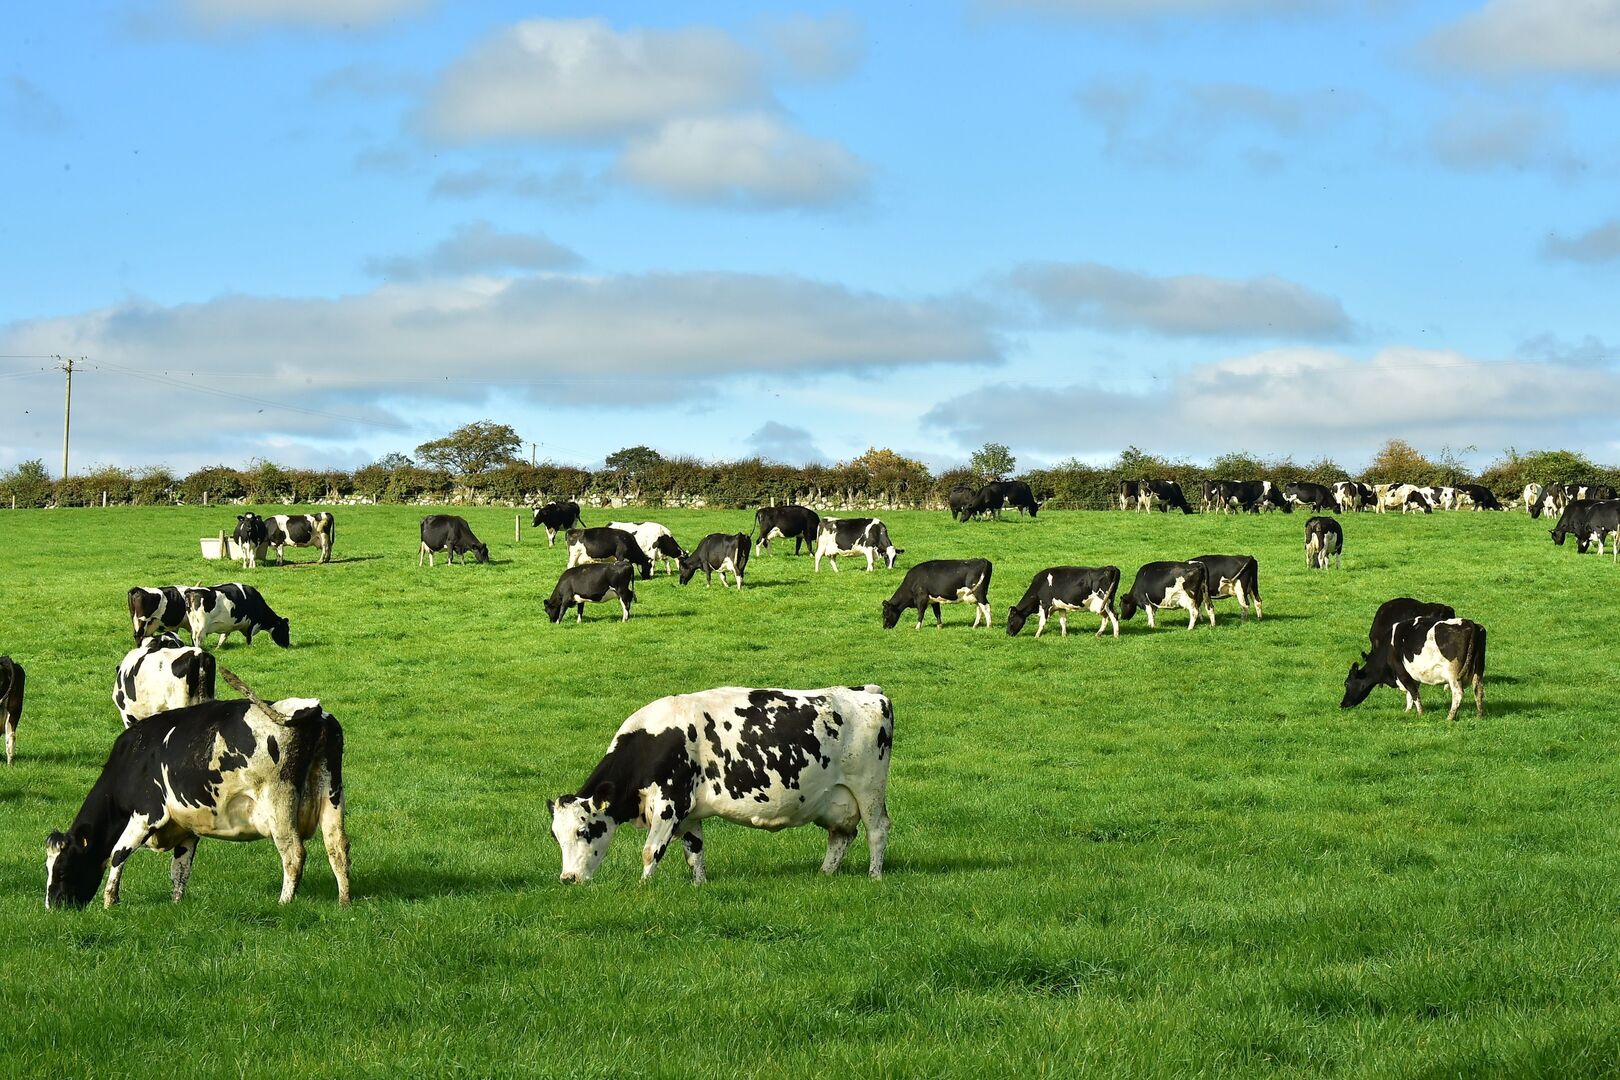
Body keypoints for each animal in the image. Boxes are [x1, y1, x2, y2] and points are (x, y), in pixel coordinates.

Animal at [44, 694, 350, 909]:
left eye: (62, 870)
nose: (53, 908)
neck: (134, 758)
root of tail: (310, 712)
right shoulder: (186, 829)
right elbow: (180, 870)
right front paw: (175, 904)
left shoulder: (146, 813)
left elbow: (118, 853)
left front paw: (110, 903)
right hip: (331, 793)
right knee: (338, 847)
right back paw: (344, 901)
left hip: (279, 803)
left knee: (294, 853)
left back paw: (284, 902)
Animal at [547, 686, 893, 884]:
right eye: (556, 837)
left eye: (584, 831)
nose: (568, 878)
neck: (653, 740)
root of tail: (868, 692)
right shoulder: (689, 813)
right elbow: (695, 852)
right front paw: (699, 885)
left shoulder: (670, 804)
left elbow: (650, 851)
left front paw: (644, 889)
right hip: (835, 800)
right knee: (842, 836)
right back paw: (824, 874)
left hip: (869, 788)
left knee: (877, 830)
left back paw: (874, 876)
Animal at [1342, 615, 1486, 723]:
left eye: (1346, 683)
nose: (1342, 704)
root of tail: (1469, 623)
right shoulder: (1412, 675)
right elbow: (1410, 695)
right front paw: (1407, 711)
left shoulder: (1402, 672)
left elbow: (1413, 692)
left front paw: (1421, 713)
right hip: (1478, 670)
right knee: (1478, 690)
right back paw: (1479, 716)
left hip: (1453, 675)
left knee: (1458, 694)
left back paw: (1450, 717)